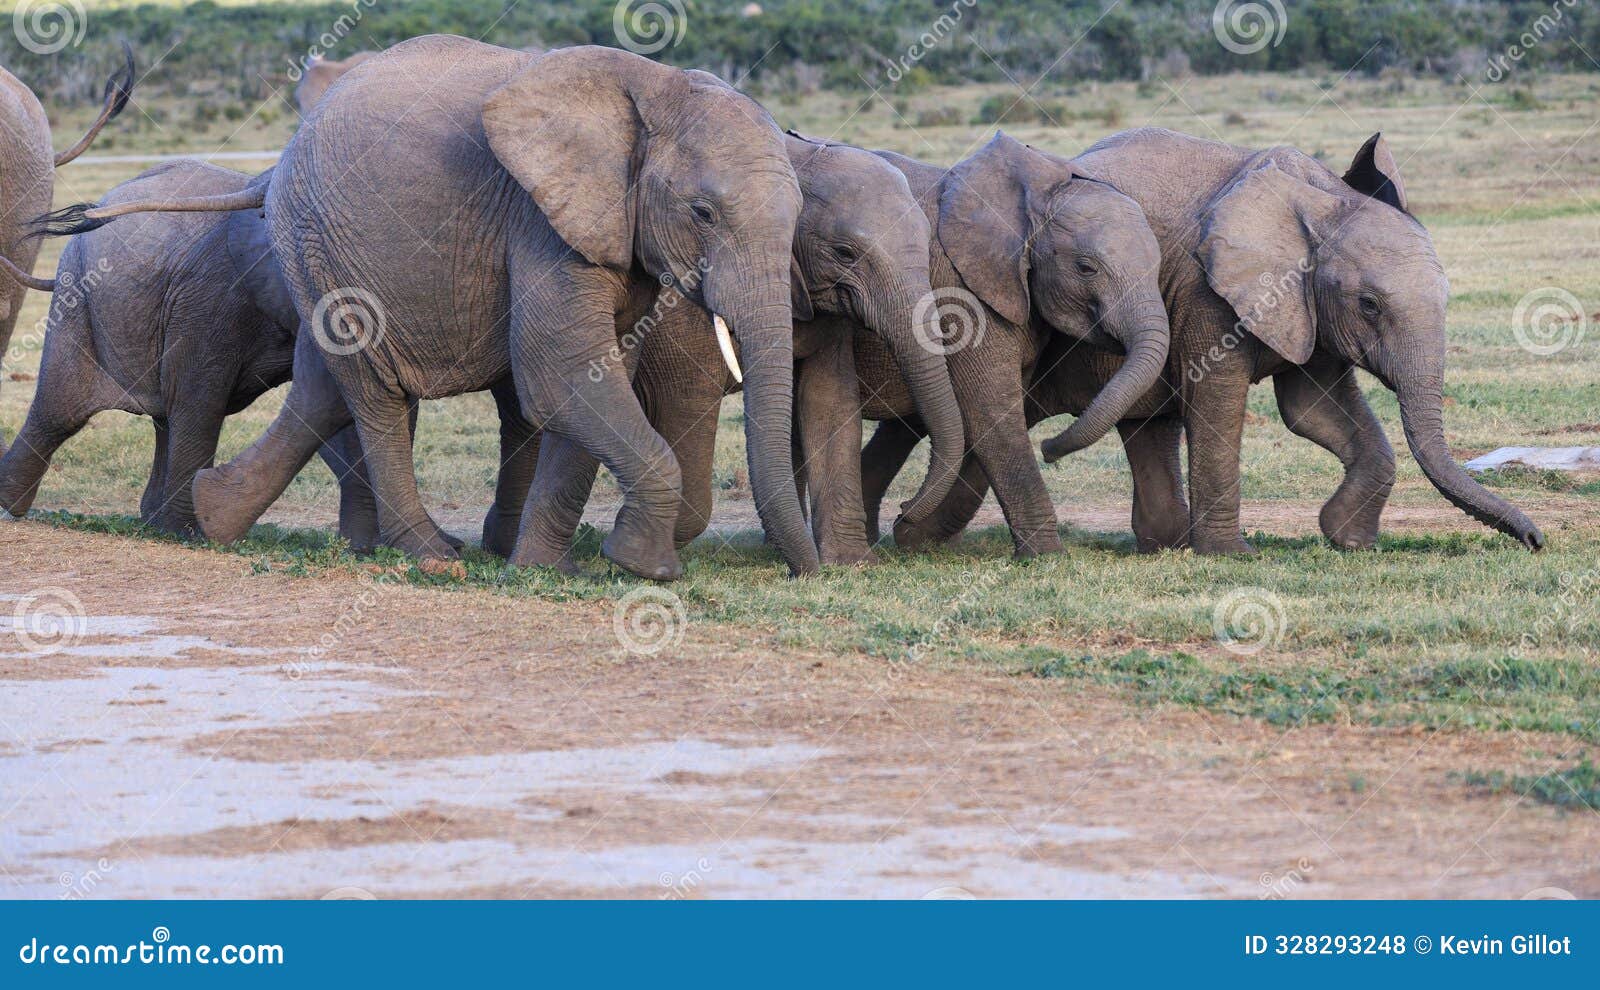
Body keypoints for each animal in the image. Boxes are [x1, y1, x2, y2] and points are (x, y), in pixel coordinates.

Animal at [0, 160, 389, 542]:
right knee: (61, 411)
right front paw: (187, 533)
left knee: (162, 418)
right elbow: (199, 397)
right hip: (79, 302)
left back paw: (153, 520)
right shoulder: (211, 295)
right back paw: (13, 503)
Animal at [157, 37, 832, 580]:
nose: (807, 573)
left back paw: (213, 515)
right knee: (374, 394)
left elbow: (591, 374)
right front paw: (645, 567)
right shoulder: (539, 218)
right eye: (703, 213)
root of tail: (277, 163)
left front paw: (547, 571)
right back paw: (432, 556)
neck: (653, 85)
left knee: (324, 389)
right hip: (316, 242)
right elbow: (562, 375)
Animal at [790, 133, 1170, 561]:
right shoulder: (965, 296)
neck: (1035, 195)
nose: (1050, 448)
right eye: (1086, 268)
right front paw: (1047, 557)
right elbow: (989, 404)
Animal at [859, 128, 1544, 554]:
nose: (1537, 541)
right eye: (1370, 306)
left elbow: (1313, 410)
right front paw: (1231, 554)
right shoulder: (1208, 293)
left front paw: (1347, 538)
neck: (1315, 194)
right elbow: (1219, 398)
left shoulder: (1304, 308)